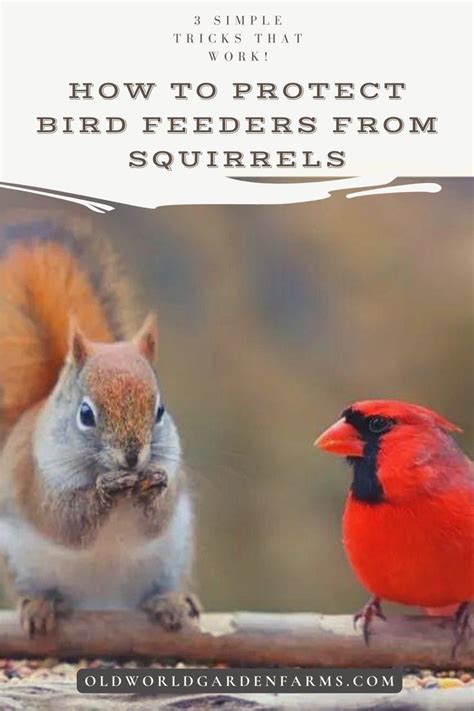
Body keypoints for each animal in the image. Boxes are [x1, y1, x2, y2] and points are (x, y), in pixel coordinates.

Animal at [0, 231, 200, 636]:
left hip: (173, 556)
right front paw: (106, 489)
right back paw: (40, 606)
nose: (133, 456)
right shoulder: (39, 482)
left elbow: (157, 516)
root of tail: (105, 603)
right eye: (86, 414)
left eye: (159, 410)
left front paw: (153, 485)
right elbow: (68, 520)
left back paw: (169, 602)